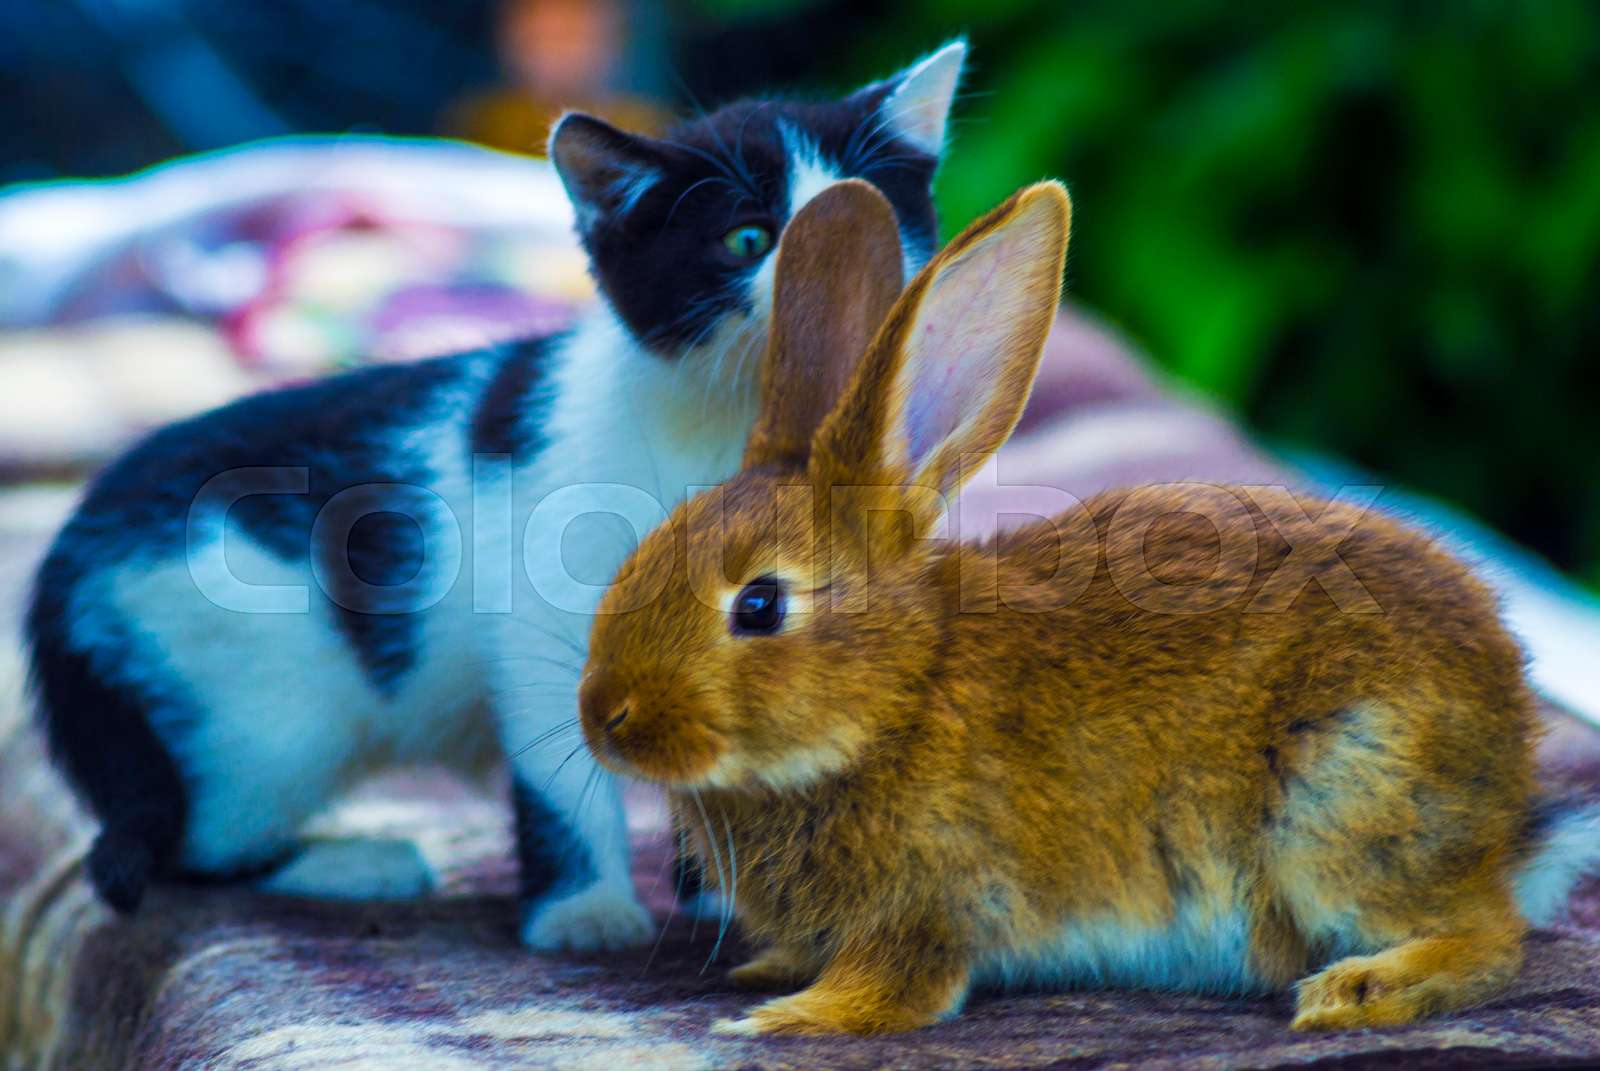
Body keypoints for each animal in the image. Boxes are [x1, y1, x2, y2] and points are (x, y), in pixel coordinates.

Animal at [24, 41, 968, 952]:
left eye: (879, 222)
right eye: (747, 238)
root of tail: (66, 561)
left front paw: (725, 896)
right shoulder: (541, 609)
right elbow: (560, 768)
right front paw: (584, 912)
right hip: (254, 688)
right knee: (190, 845)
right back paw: (357, 863)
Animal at [576, 177, 1600, 1034]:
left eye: (758, 605)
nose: (606, 718)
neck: (899, 694)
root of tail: (1510, 811)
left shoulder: (930, 905)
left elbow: (896, 985)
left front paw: (782, 1017)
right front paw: (767, 973)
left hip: (1338, 797)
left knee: (1487, 935)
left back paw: (1357, 990)